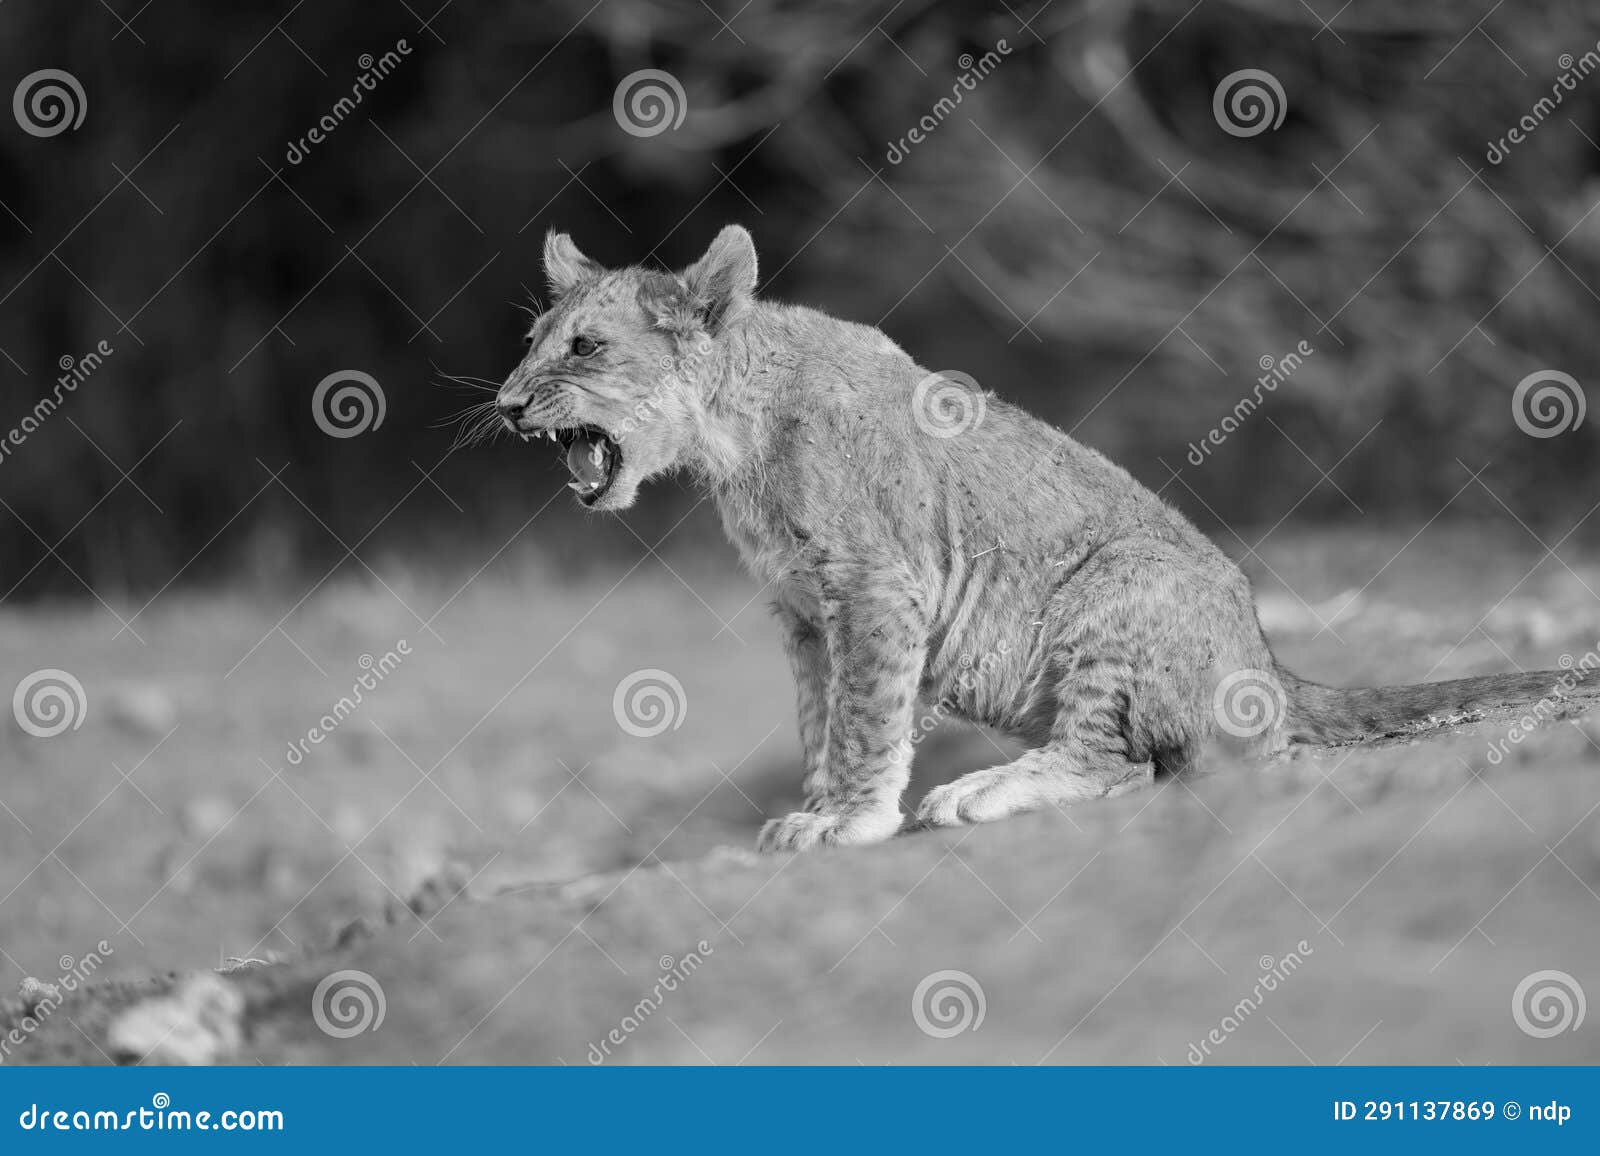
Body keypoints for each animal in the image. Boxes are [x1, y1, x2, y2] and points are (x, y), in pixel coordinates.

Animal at [495, 225, 1600, 852]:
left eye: (584, 348)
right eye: (532, 343)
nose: (504, 405)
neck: (731, 436)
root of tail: (1271, 664)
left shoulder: (873, 588)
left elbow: (864, 718)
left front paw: (849, 819)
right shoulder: (805, 614)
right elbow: (821, 719)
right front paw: (813, 805)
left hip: (1113, 587)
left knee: (1125, 762)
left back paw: (975, 793)